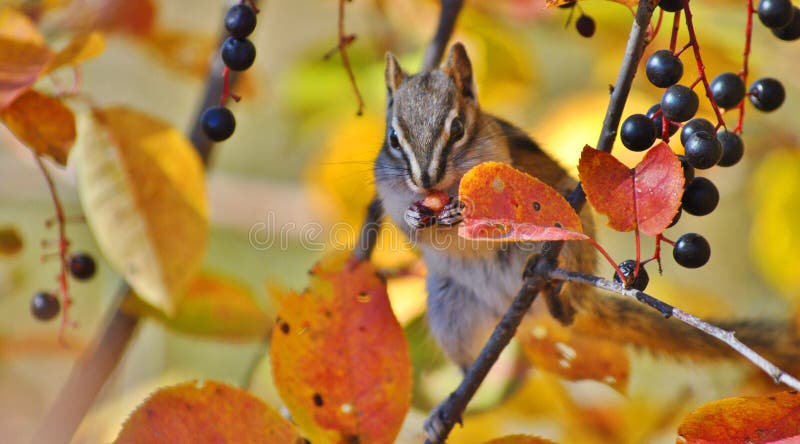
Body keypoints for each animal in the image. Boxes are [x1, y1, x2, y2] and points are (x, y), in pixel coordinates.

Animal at [372, 42, 800, 374]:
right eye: (393, 138)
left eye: (458, 129)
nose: (425, 180)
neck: (444, 187)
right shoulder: (390, 192)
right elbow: (407, 223)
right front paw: (415, 216)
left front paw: (462, 212)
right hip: (449, 310)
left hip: (572, 241)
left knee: (570, 311)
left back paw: (552, 287)